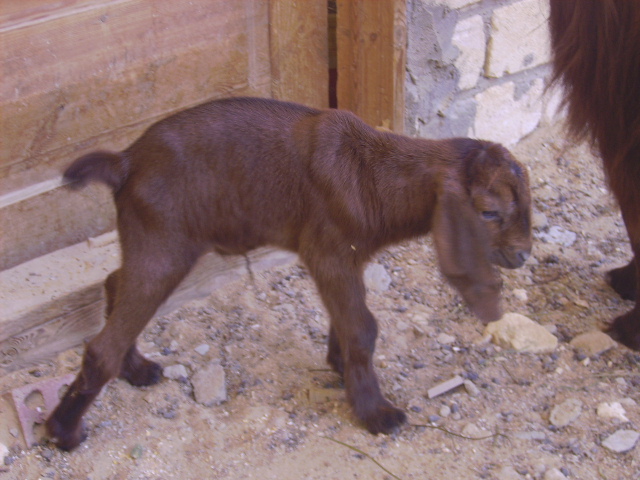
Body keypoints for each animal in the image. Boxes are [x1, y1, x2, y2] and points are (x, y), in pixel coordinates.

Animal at [46, 97, 532, 451]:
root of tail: (125, 161)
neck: (375, 174)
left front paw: (339, 366)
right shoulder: (329, 253)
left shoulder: (348, 260)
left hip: (152, 242)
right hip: (166, 244)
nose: (523, 254)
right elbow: (362, 328)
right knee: (103, 345)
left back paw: (136, 369)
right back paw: (63, 431)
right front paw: (374, 411)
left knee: (115, 285)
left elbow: (347, 320)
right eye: (489, 212)